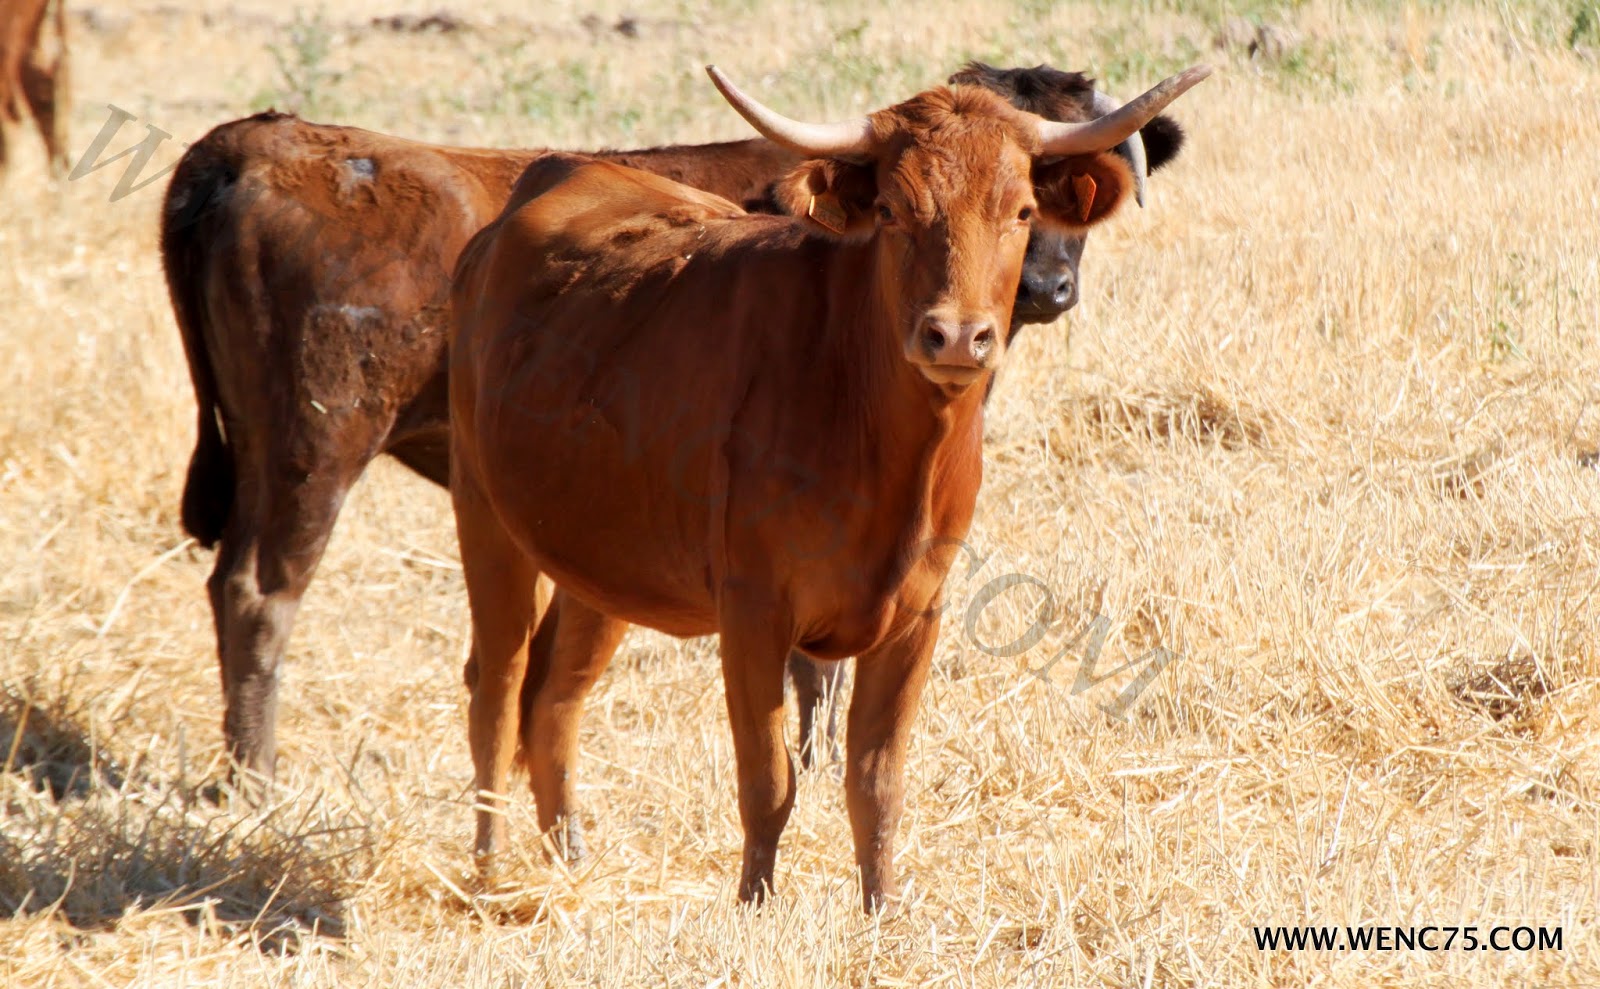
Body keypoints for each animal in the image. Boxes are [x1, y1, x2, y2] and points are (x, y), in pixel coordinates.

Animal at [162, 66, 1189, 786]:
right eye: (906, 210)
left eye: (1045, 200)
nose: (1047, 289)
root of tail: (250, 143)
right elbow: (813, 678)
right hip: (315, 448)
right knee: (260, 594)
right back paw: (256, 778)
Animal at [447, 64, 1211, 910]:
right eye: (891, 209)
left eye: (1020, 210)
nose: (957, 335)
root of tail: (555, 177)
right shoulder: (753, 612)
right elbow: (769, 780)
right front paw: (754, 908)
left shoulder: (917, 615)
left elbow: (875, 782)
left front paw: (882, 913)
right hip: (483, 511)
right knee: (497, 684)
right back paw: (487, 867)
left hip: (601, 552)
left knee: (554, 692)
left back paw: (569, 858)